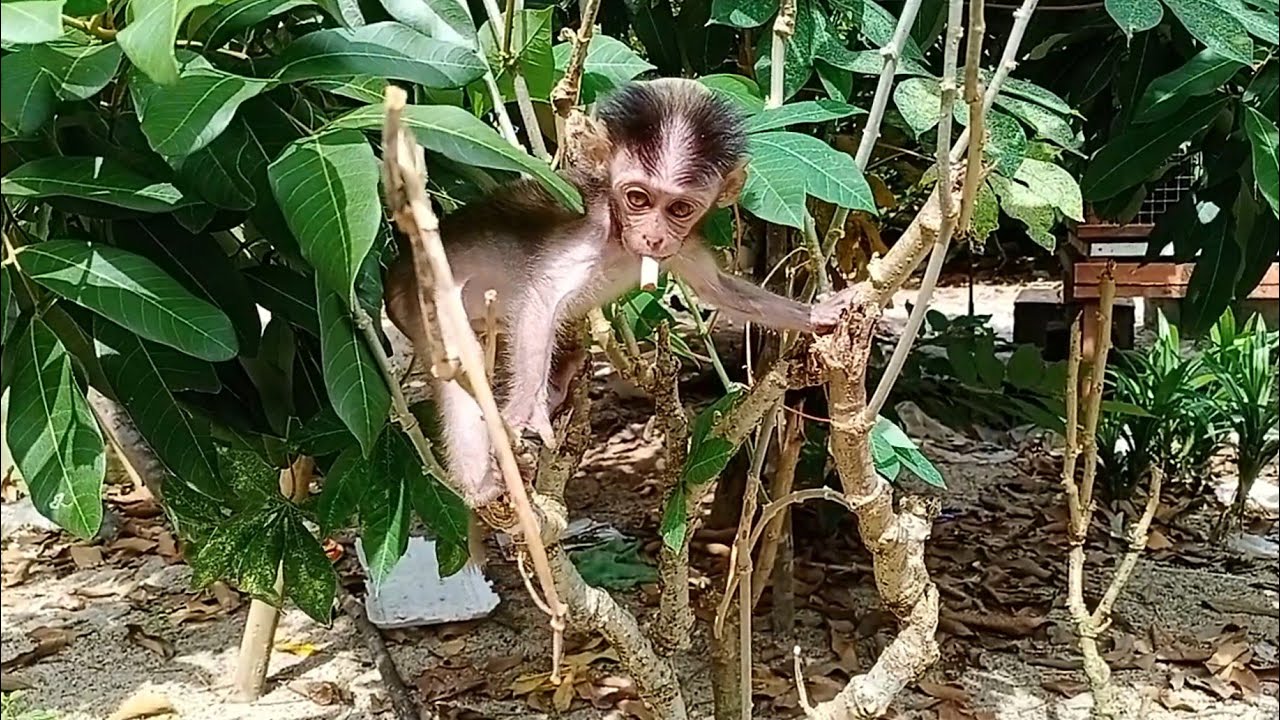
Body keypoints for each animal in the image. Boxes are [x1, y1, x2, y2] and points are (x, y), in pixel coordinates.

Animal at [384, 77, 857, 509]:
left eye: (679, 208)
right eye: (638, 198)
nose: (652, 237)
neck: (620, 238)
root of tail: (394, 278)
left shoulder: (683, 246)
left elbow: (719, 289)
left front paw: (820, 314)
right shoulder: (587, 235)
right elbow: (541, 299)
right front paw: (526, 412)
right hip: (423, 303)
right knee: (459, 364)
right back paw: (482, 486)